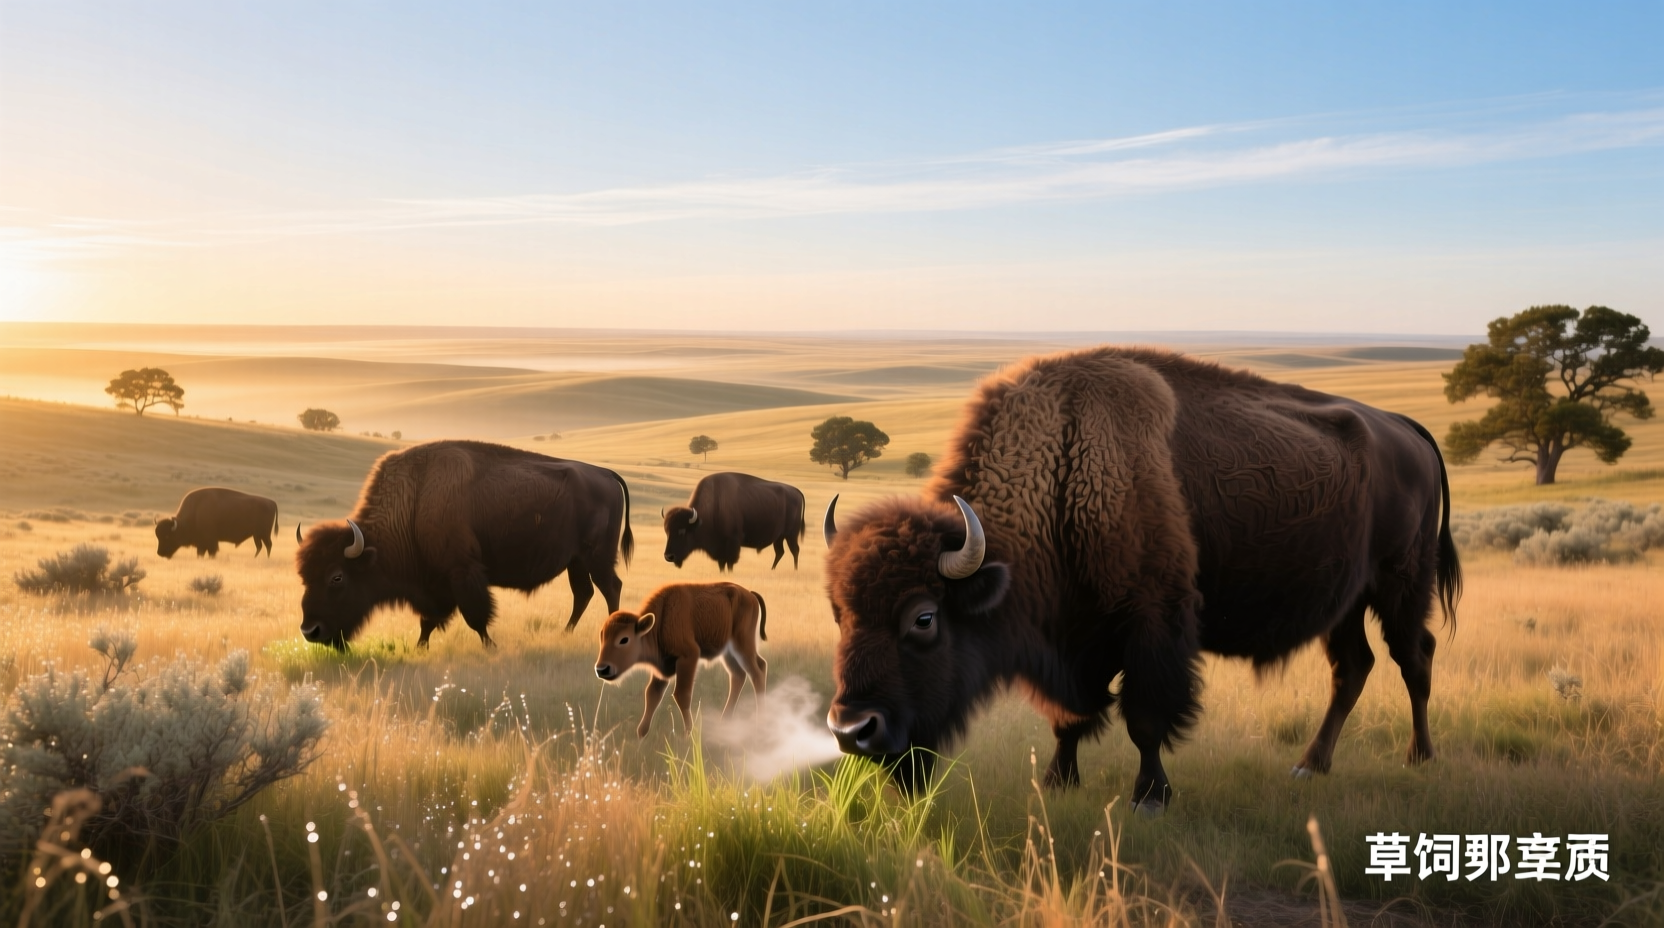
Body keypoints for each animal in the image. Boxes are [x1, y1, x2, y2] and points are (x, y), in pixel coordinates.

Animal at [295, 440, 634, 648]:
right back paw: (565, 633)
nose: (310, 631)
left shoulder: (462, 572)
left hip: (597, 557)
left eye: (337, 577)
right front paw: (420, 647)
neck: (414, 500)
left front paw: (491, 647)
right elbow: (429, 621)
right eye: (304, 576)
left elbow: (476, 617)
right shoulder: (434, 584)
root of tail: (605, 473)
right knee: (584, 593)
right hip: (576, 561)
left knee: (611, 587)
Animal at [662, 472, 806, 571]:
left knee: (795, 550)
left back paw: (795, 570)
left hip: (791, 535)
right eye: (667, 531)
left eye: (682, 531)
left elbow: (730, 563)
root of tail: (796, 491)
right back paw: (772, 570)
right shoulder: (720, 549)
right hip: (779, 537)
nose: (669, 557)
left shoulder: (732, 542)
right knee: (780, 552)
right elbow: (722, 564)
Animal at [822, 347, 1460, 813]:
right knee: (1352, 668)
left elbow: (1145, 719)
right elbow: (1069, 718)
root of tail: (1405, 429)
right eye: (839, 613)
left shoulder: (1153, 622)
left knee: (1415, 658)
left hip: (1401, 585)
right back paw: (1309, 766)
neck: (1066, 457)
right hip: (1345, 602)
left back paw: (1421, 757)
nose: (852, 729)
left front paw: (1150, 797)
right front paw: (1057, 781)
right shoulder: (1075, 638)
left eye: (924, 618)